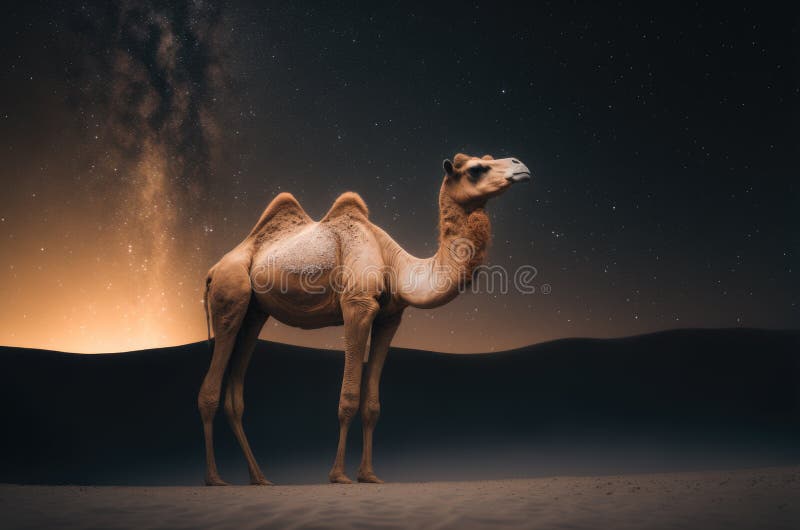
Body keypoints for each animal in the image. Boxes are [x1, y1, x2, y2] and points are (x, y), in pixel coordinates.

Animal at [198, 153, 532, 485]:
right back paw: (214, 478)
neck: (395, 262)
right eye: (476, 169)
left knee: (235, 397)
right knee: (210, 388)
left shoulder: (389, 318)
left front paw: (369, 475)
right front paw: (338, 475)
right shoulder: (357, 306)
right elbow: (349, 397)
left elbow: (372, 404)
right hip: (232, 292)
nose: (520, 165)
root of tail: (212, 270)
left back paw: (259, 478)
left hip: (255, 311)